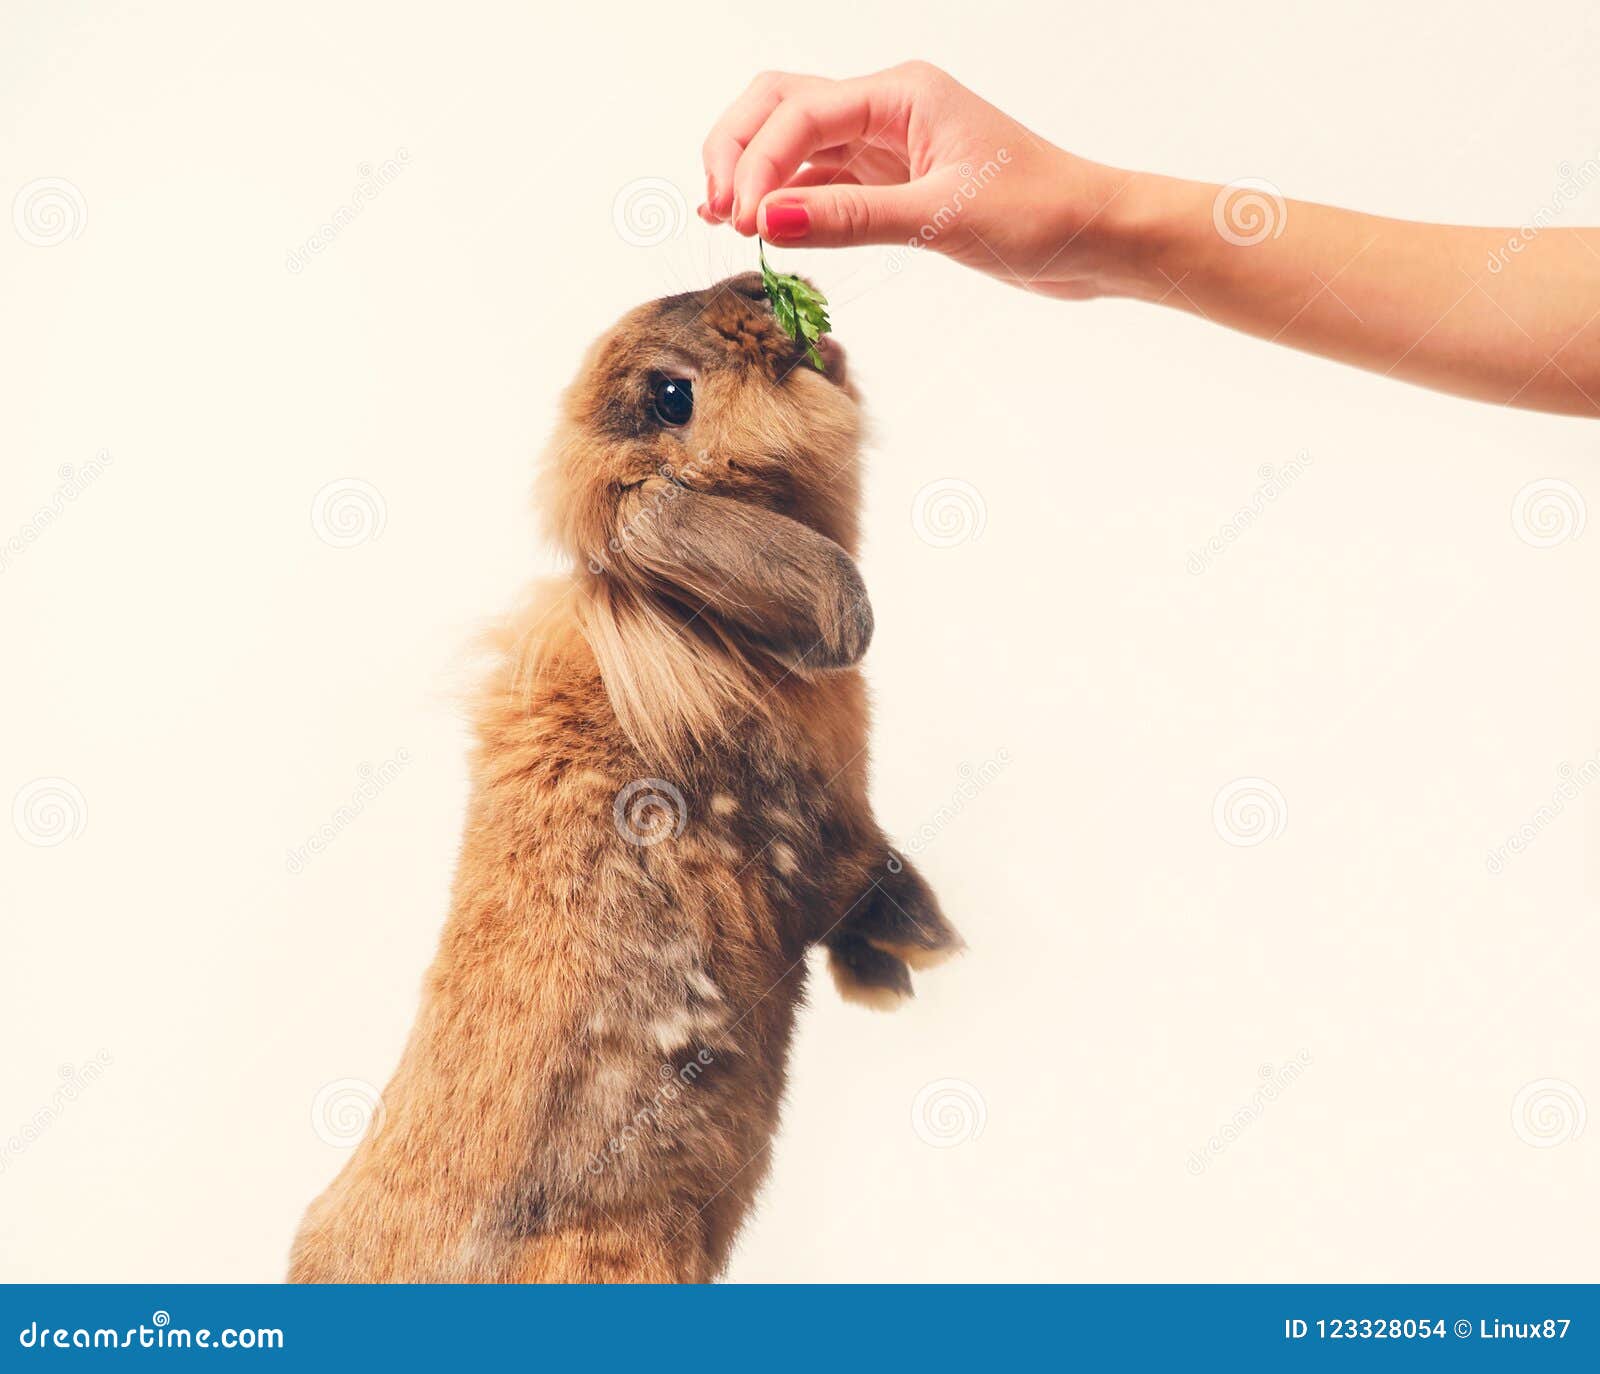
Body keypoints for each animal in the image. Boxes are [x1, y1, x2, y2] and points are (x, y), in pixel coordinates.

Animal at [288, 271, 962, 1284]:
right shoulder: (829, 833)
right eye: (671, 397)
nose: (755, 287)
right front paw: (925, 953)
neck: (692, 628)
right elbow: (869, 878)